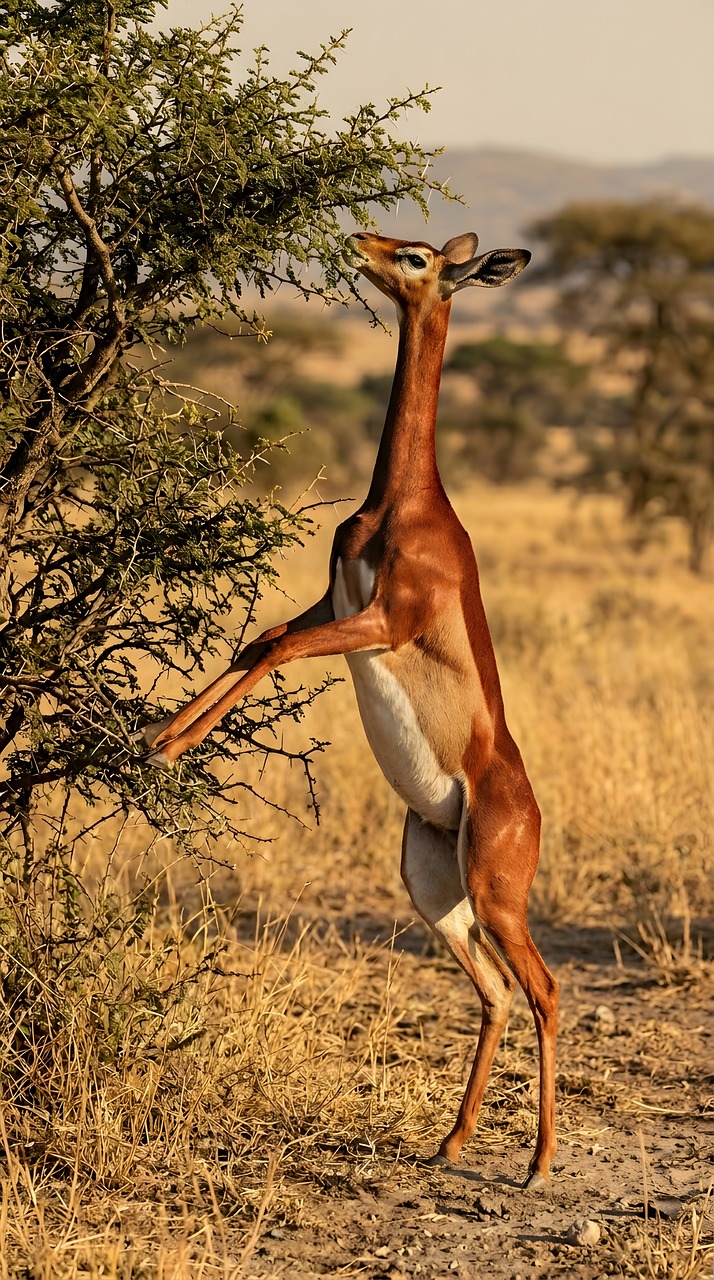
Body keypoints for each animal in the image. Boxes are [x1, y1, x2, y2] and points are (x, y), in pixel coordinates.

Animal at [140, 231, 559, 1188]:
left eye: (415, 258)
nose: (358, 240)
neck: (401, 504)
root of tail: (530, 811)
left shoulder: (378, 621)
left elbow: (272, 652)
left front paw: (165, 750)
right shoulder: (328, 604)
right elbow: (257, 644)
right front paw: (154, 740)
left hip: (498, 895)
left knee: (545, 991)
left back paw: (536, 1165)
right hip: (436, 891)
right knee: (495, 992)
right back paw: (452, 1142)